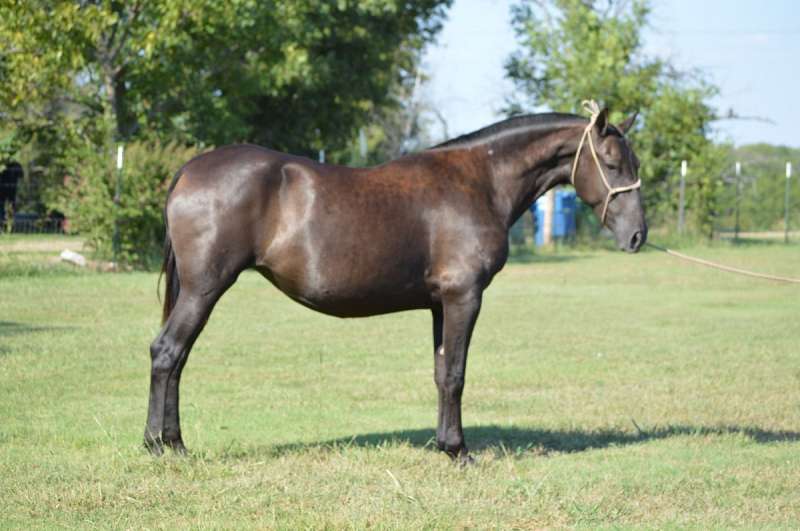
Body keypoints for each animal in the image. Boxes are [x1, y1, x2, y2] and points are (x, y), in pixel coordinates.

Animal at [145, 102, 647, 462]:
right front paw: (459, 451)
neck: (480, 181)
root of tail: (191, 169)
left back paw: (172, 441)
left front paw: (445, 444)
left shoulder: (441, 303)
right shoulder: (464, 297)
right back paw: (160, 445)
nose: (638, 235)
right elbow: (457, 373)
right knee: (167, 352)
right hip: (205, 288)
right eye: (611, 163)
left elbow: (442, 372)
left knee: (178, 357)